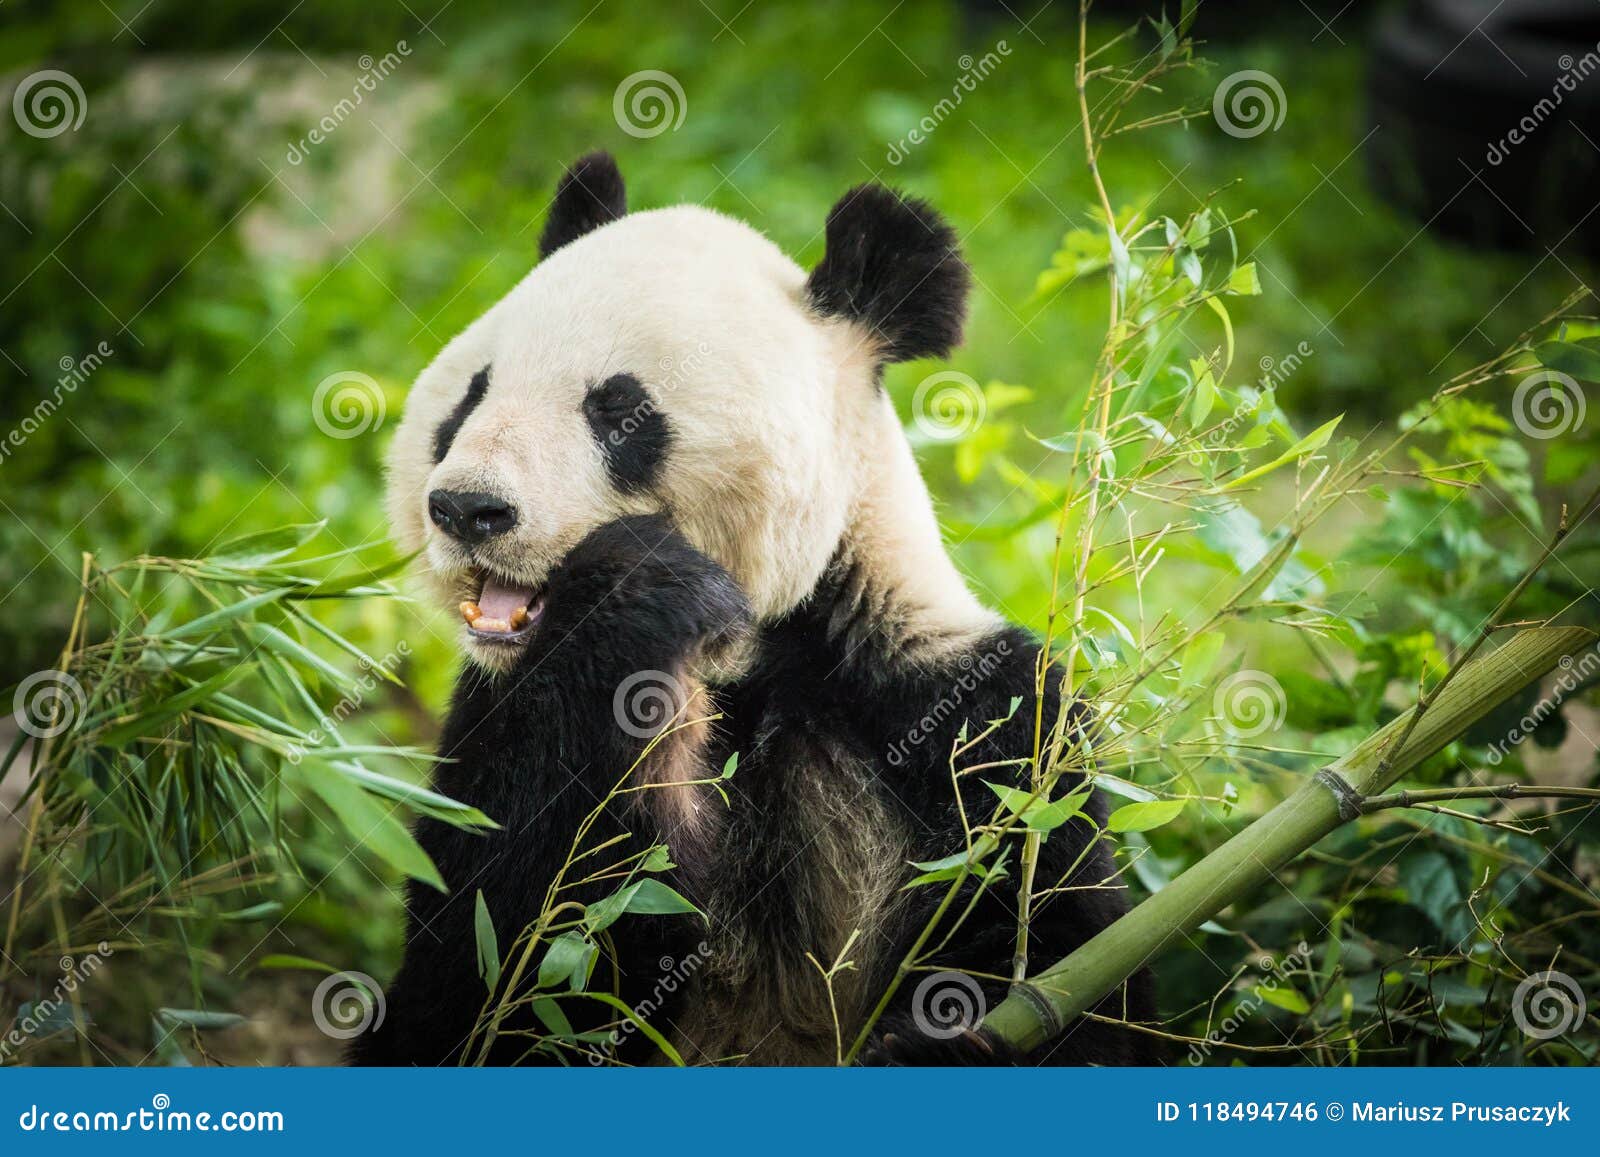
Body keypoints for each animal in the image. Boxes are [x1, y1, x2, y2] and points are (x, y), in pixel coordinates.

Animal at [350, 152, 1155, 1067]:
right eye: (471, 396)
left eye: (618, 409)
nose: (466, 508)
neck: (751, 653)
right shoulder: (497, 707)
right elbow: (498, 974)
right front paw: (636, 602)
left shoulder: (971, 719)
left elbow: (1065, 956)